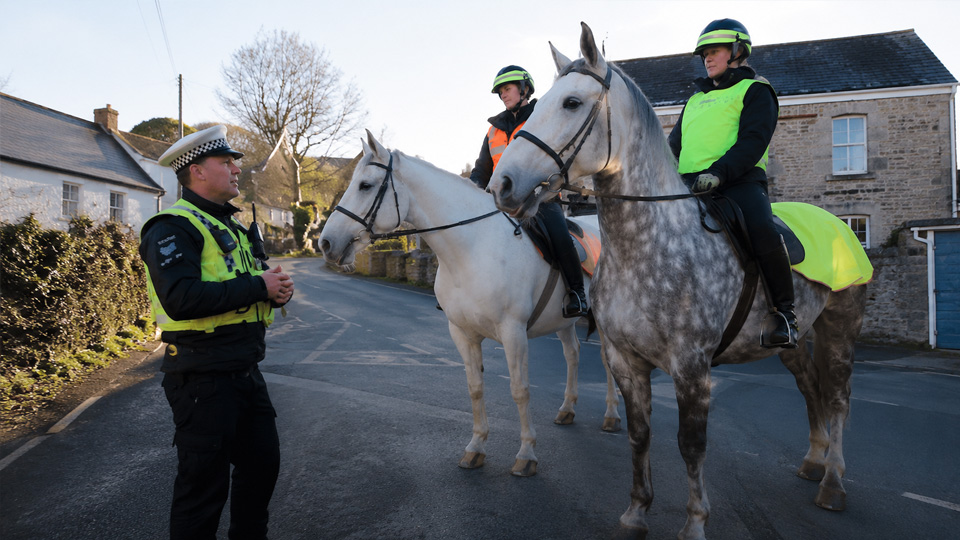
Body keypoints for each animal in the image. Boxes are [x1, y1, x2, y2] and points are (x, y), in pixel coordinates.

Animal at [318, 130, 621, 477]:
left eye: (365, 185)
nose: (325, 243)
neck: (472, 249)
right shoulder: (462, 333)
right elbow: (475, 387)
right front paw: (475, 447)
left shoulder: (513, 333)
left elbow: (520, 390)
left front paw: (526, 453)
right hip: (563, 320)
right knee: (573, 354)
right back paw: (567, 408)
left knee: (606, 361)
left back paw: (612, 415)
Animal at [487, 23, 869, 540]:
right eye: (539, 101)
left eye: (571, 103)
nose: (502, 184)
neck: (651, 247)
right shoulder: (626, 361)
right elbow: (639, 434)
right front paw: (635, 512)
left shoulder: (692, 368)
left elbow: (691, 445)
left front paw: (695, 523)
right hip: (793, 340)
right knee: (810, 388)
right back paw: (813, 461)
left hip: (840, 328)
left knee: (838, 398)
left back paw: (833, 482)